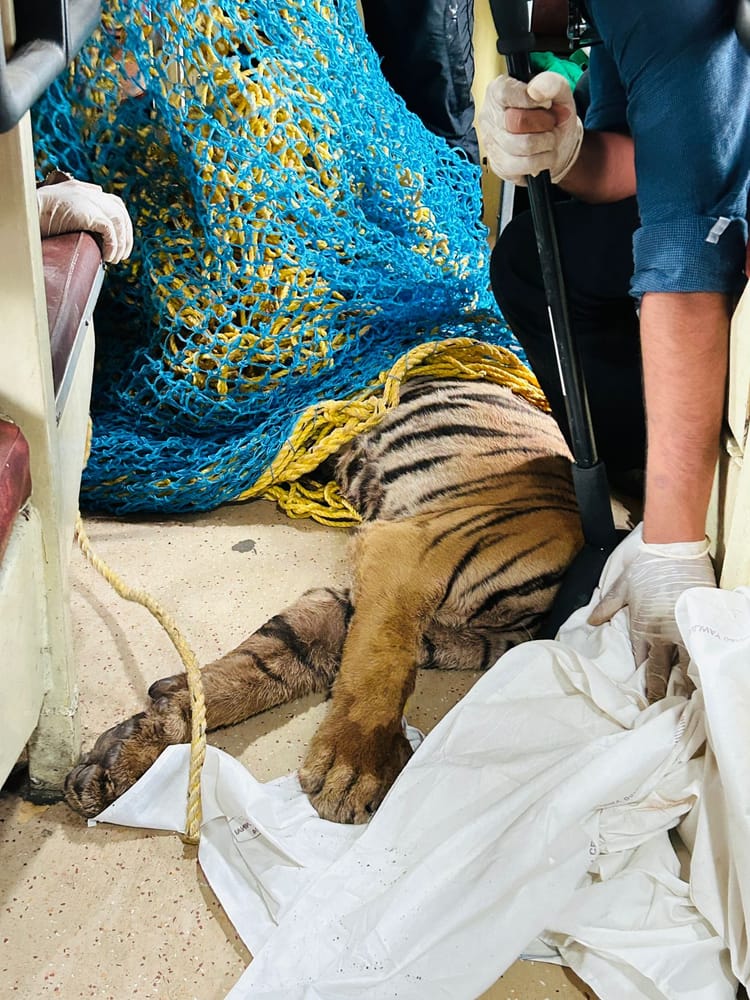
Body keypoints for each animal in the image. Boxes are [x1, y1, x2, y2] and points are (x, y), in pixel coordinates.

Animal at [64, 374, 583, 824]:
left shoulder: (392, 613)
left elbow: (270, 662)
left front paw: (127, 753)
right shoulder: (406, 555)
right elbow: (380, 665)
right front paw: (355, 770)